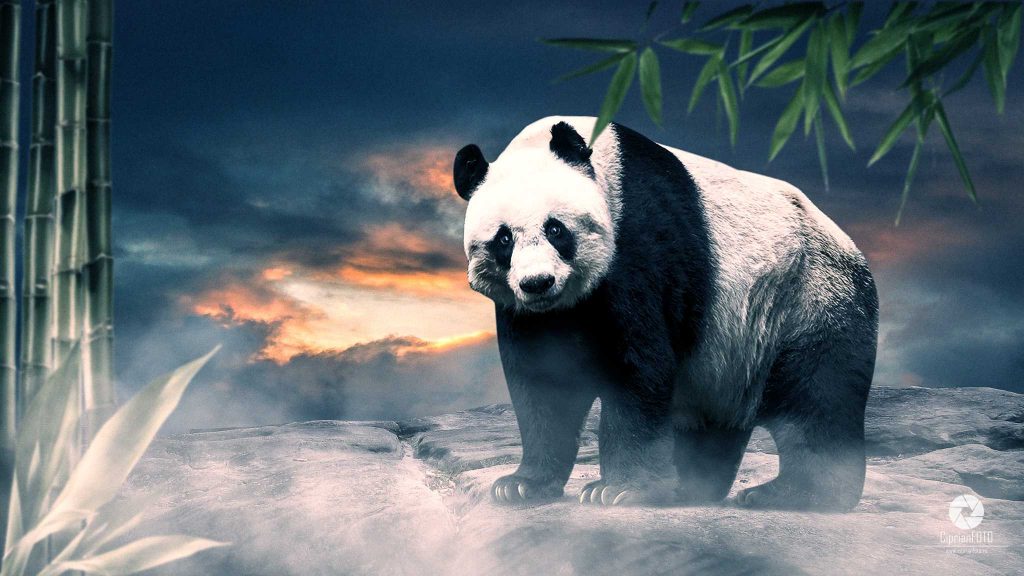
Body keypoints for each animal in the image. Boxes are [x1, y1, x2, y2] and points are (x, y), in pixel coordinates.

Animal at [453, 116, 878, 511]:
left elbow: (638, 368)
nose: (537, 282)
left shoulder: (640, 245)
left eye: (556, 229)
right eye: (503, 238)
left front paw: (616, 489)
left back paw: (794, 494)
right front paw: (520, 485)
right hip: (727, 353)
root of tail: (854, 251)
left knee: (816, 397)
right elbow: (545, 383)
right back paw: (690, 488)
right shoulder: (529, 313)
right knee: (710, 420)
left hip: (805, 298)